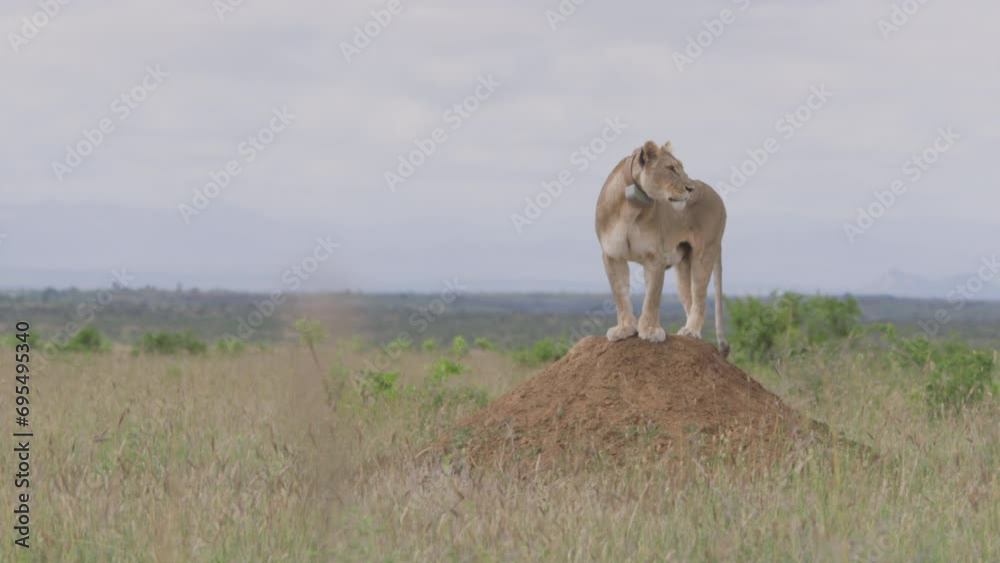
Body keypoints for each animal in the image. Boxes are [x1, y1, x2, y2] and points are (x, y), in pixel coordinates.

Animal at [595, 140, 729, 357]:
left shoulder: (655, 255)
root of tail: (716, 195)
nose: (691, 188)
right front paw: (625, 329)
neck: (631, 206)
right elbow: (620, 294)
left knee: (700, 300)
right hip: (683, 269)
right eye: (671, 168)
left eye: (681, 168)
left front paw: (650, 331)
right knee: (690, 301)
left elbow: (652, 297)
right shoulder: (611, 256)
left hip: (705, 253)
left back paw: (691, 331)